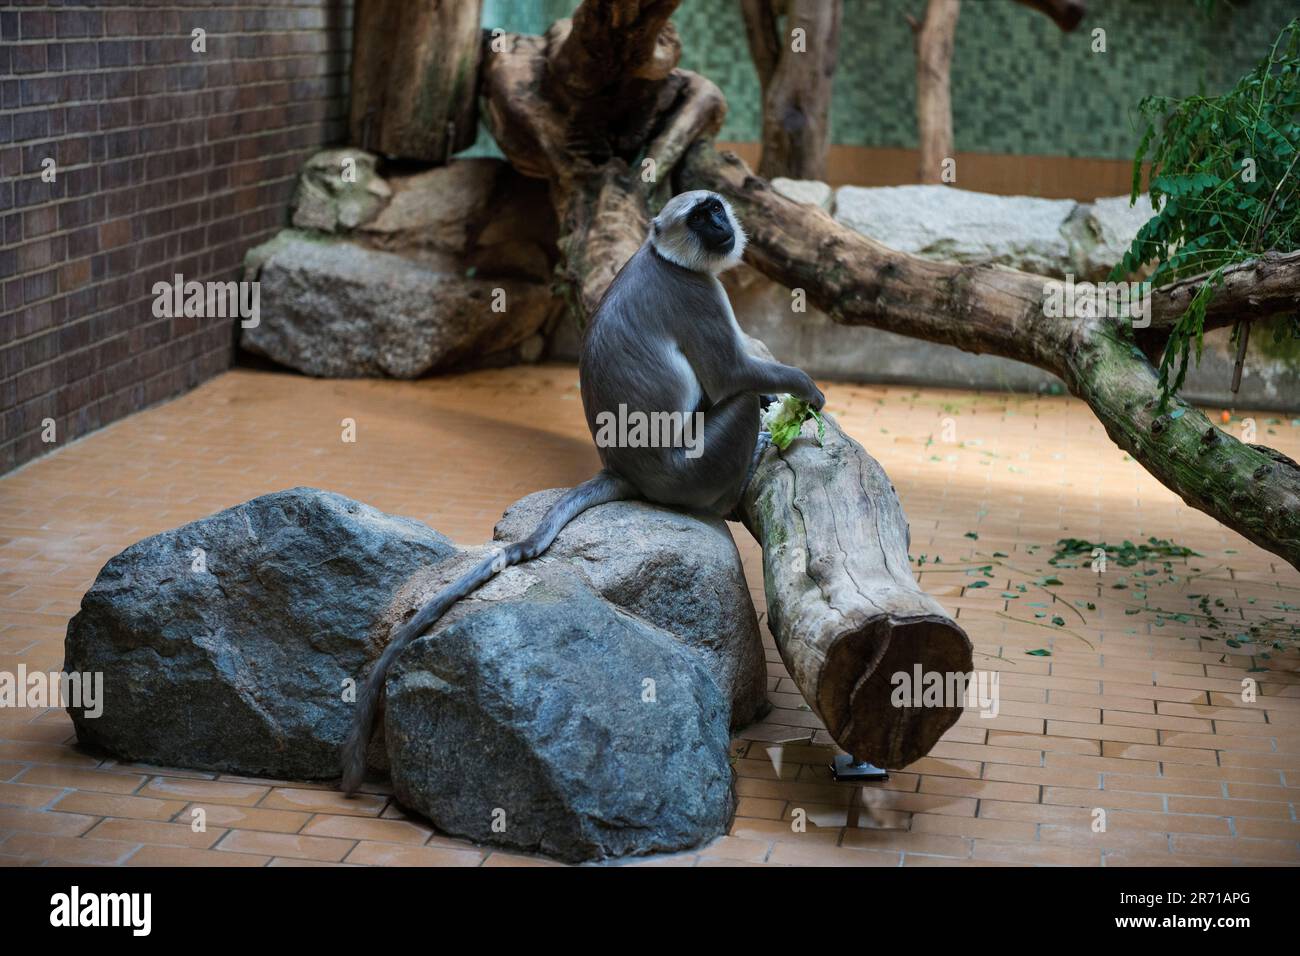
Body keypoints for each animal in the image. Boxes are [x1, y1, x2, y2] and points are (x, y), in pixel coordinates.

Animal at [339, 189, 824, 795]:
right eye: (700, 217)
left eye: (715, 208)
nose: (719, 224)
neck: (664, 258)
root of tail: (622, 467)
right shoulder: (697, 294)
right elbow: (732, 374)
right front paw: (802, 392)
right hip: (694, 469)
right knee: (733, 403)